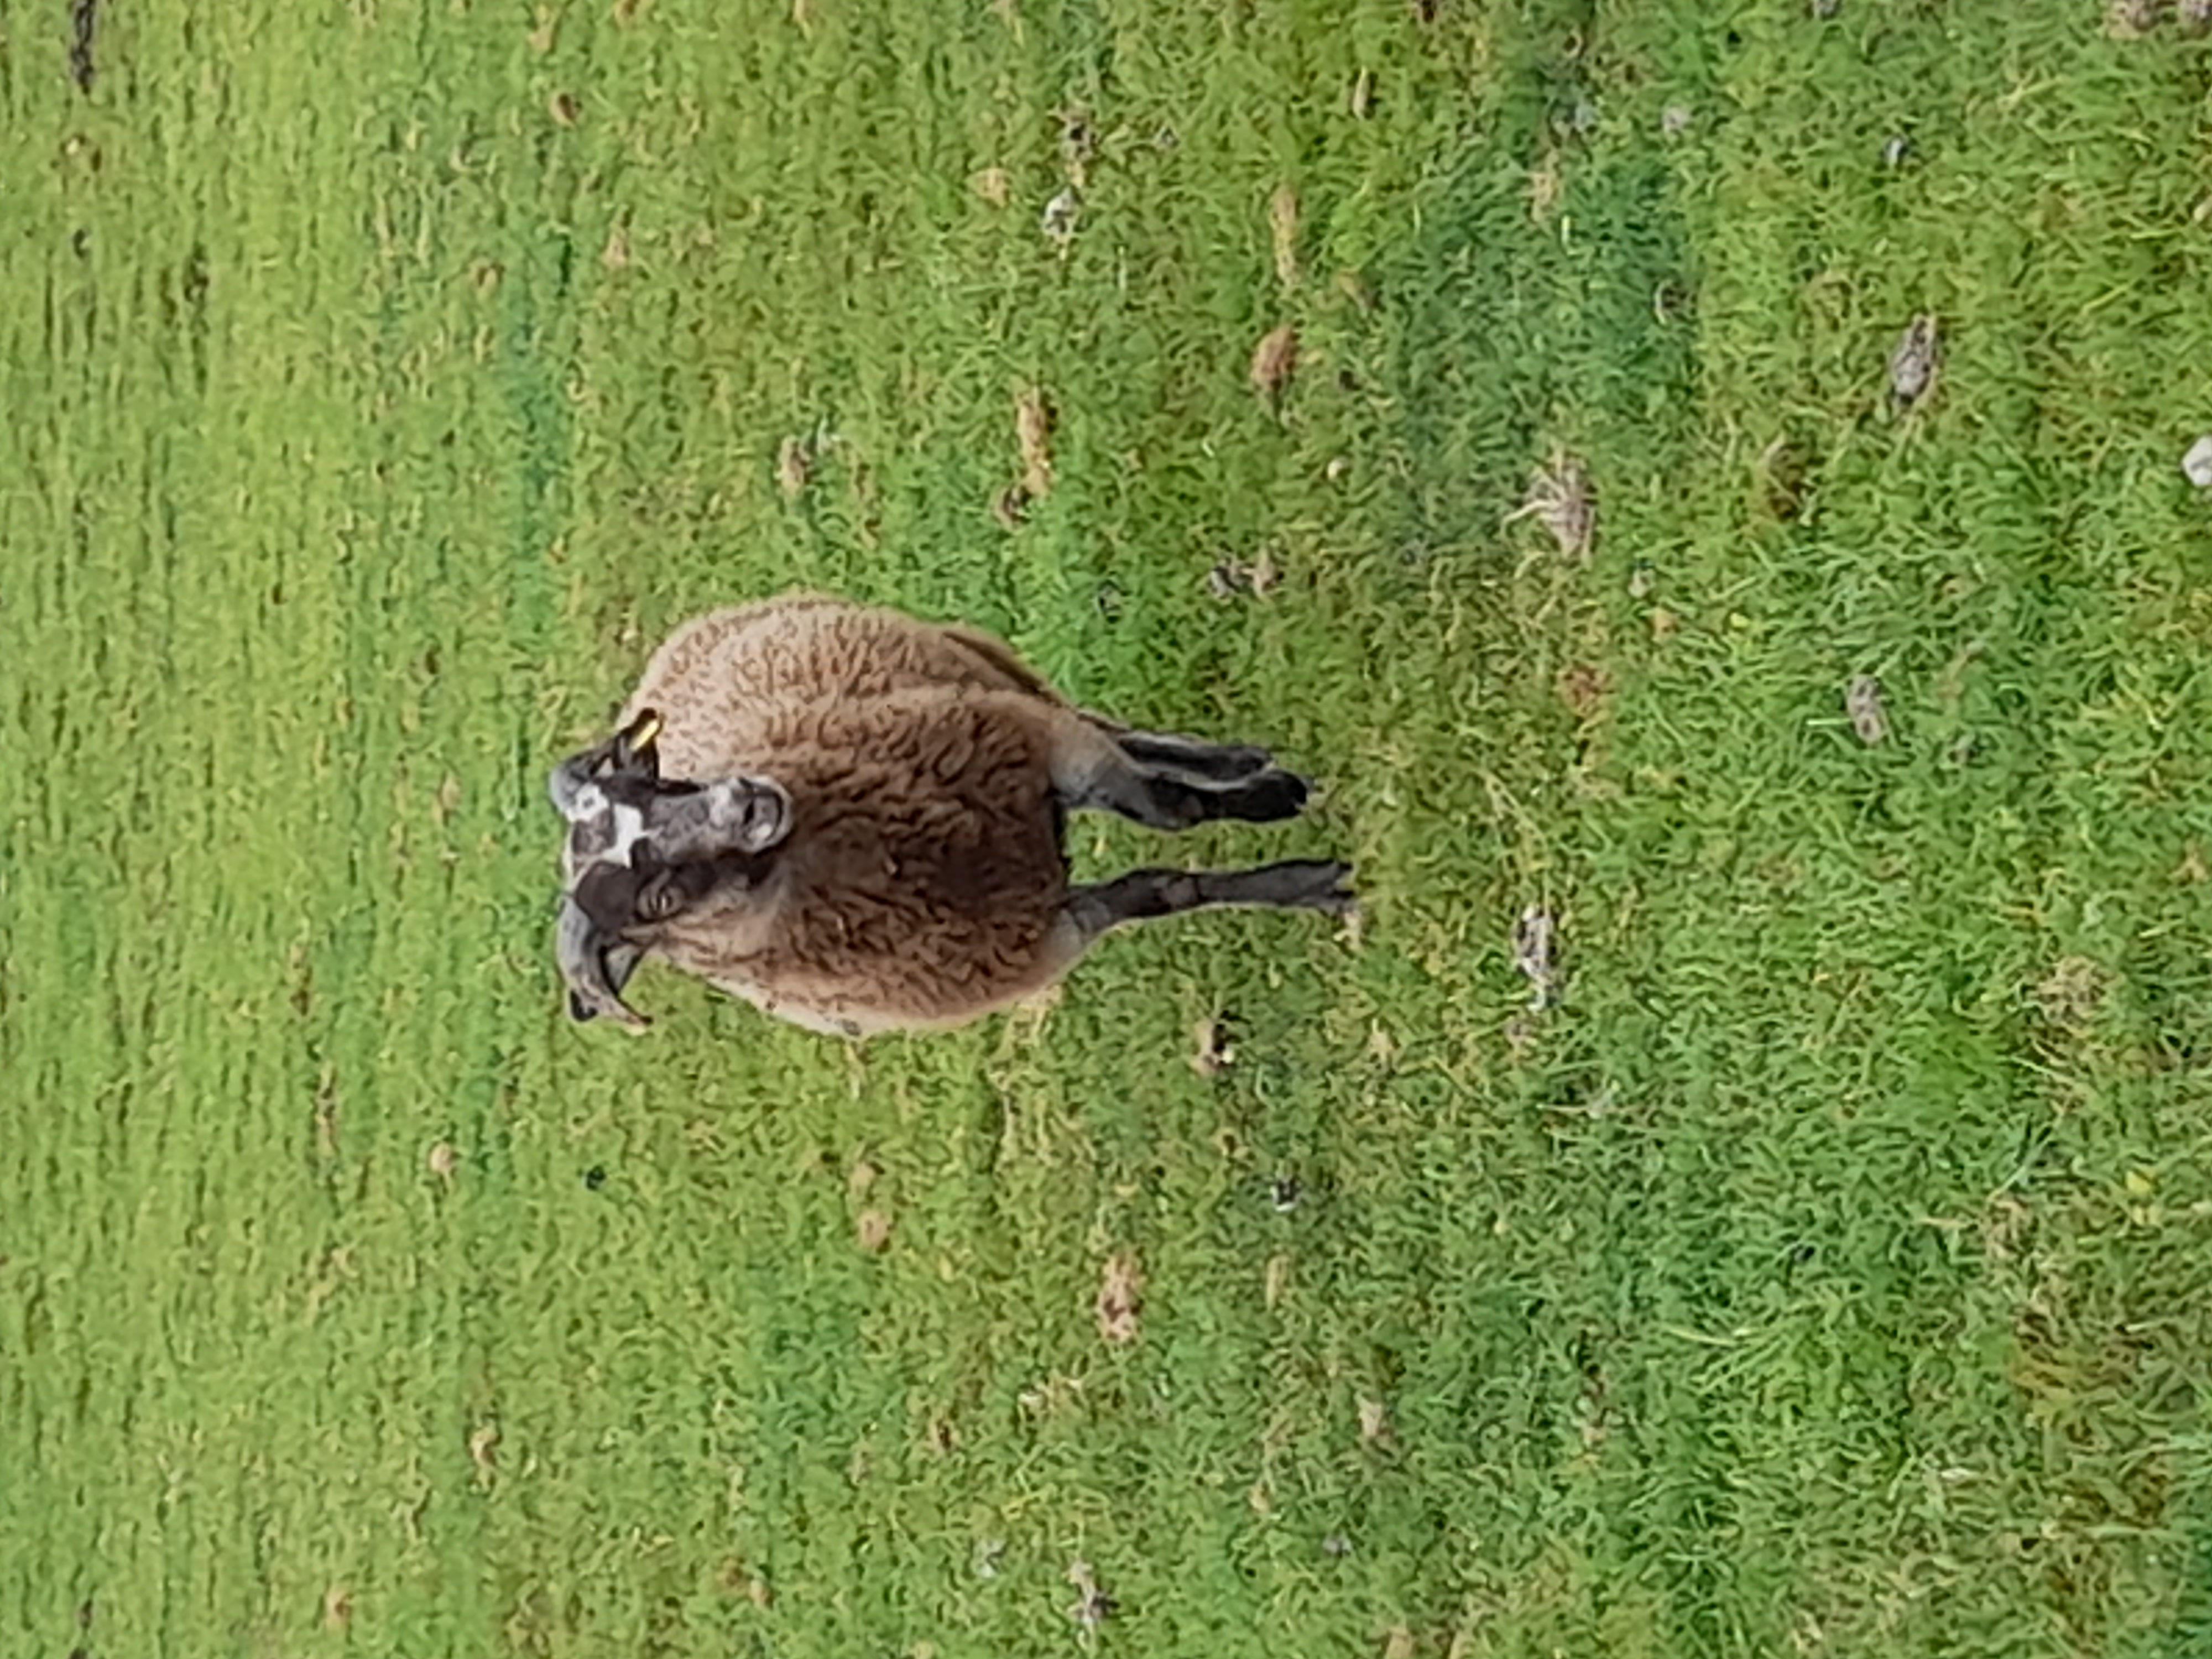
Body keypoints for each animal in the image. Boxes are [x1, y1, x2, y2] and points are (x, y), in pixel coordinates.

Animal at [547, 591, 1354, 1037]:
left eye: (655, 787)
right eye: (655, 900)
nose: (746, 799)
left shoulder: (1047, 747)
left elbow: (1169, 814)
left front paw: (1287, 839)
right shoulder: (1057, 929)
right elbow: (1163, 884)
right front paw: (1313, 879)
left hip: (985, 666)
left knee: (1114, 729)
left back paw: (1241, 766)